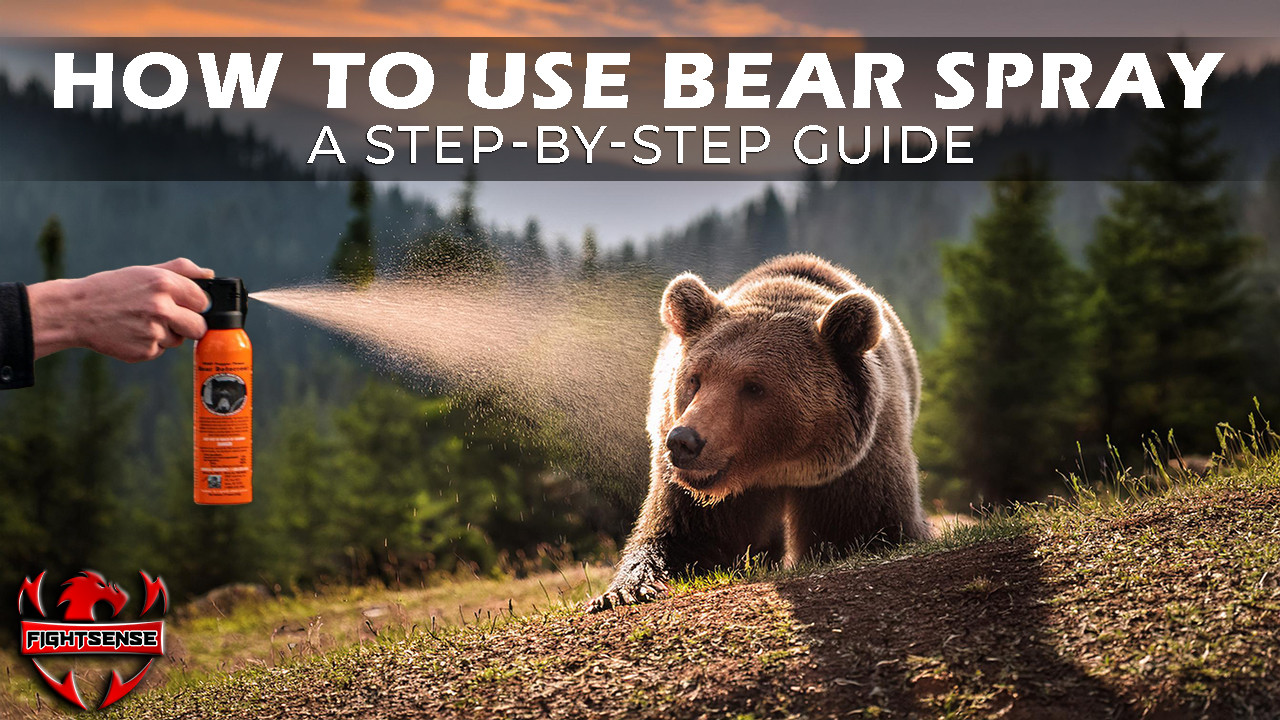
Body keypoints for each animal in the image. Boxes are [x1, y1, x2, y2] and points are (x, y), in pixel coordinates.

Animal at [586, 254, 932, 612]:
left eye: (754, 386)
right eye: (695, 378)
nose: (684, 441)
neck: (776, 466)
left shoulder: (858, 464)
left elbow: (868, 526)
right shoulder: (694, 487)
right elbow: (682, 536)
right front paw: (623, 592)